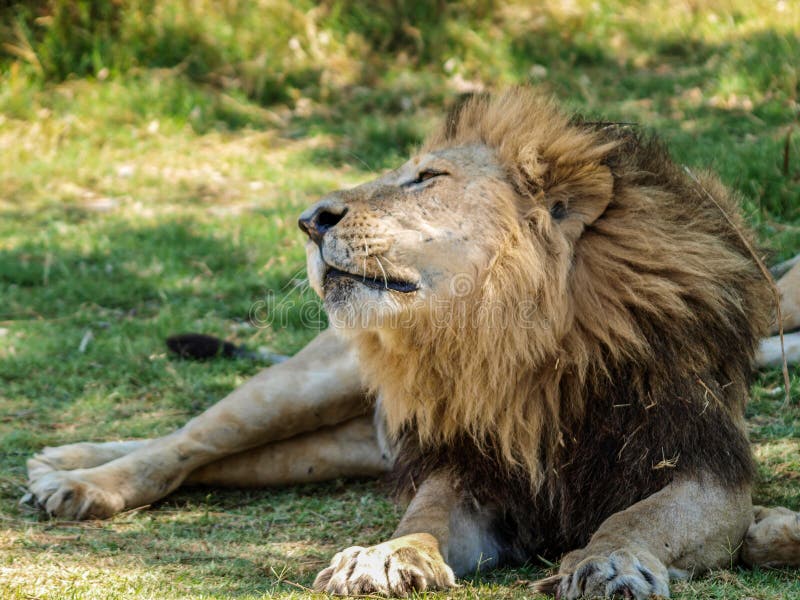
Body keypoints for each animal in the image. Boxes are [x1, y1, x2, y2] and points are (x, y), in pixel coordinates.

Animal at [24, 89, 800, 598]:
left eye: (426, 178)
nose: (309, 218)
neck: (508, 345)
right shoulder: (467, 467)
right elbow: (422, 516)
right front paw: (383, 557)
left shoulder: (705, 468)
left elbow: (637, 519)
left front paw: (610, 562)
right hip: (307, 383)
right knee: (183, 446)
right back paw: (74, 479)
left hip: (331, 450)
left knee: (222, 462)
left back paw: (59, 464)